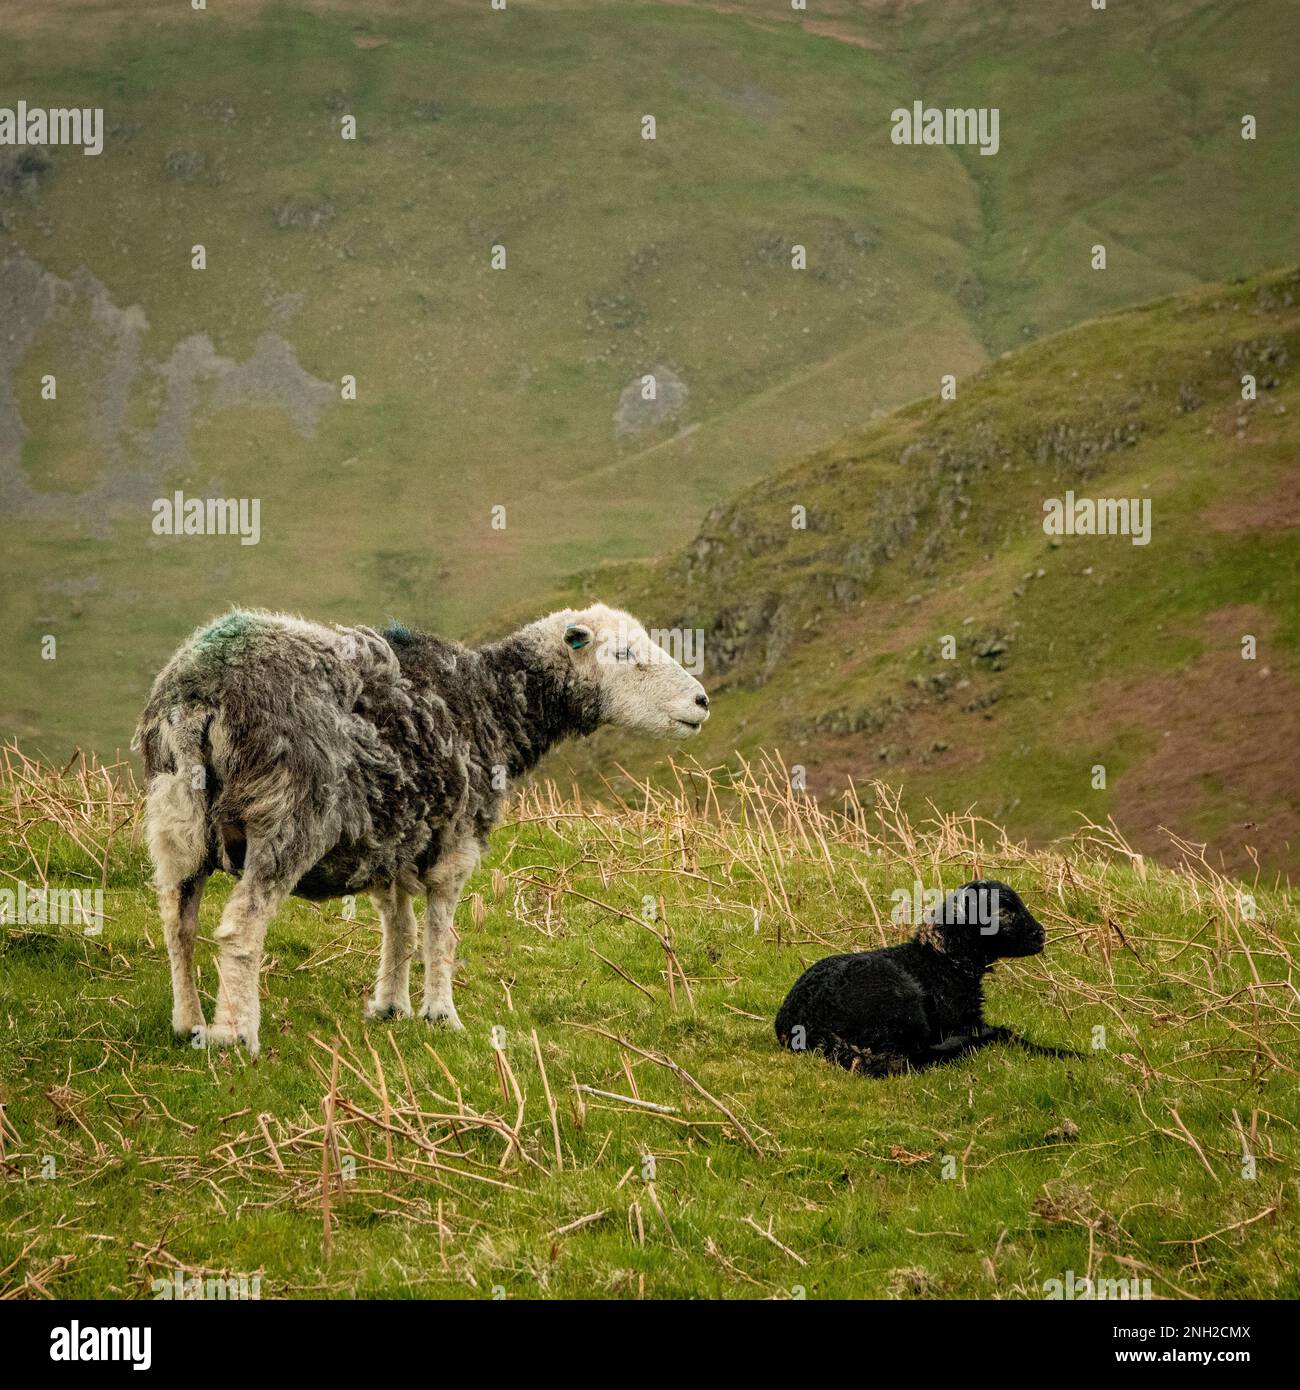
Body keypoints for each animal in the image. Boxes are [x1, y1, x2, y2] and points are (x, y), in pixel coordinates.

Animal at [134, 603, 709, 1056]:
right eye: (624, 655)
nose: (702, 701)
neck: (495, 703)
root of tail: (199, 690)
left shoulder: (393, 839)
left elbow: (401, 928)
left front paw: (390, 1006)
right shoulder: (456, 839)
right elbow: (439, 932)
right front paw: (441, 1013)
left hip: (176, 818)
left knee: (177, 923)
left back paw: (189, 1024)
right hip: (288, 816)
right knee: (240, 930)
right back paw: (236, 1036)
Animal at [774, 880, 1078, 1075]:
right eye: (1003, 910)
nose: (1041, 934)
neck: (940, 960)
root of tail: (810, 1025)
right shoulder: (960, 1021)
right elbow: (1015, 1037)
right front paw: (1070, 1055)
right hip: (901, 1005)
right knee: (913, 1058)